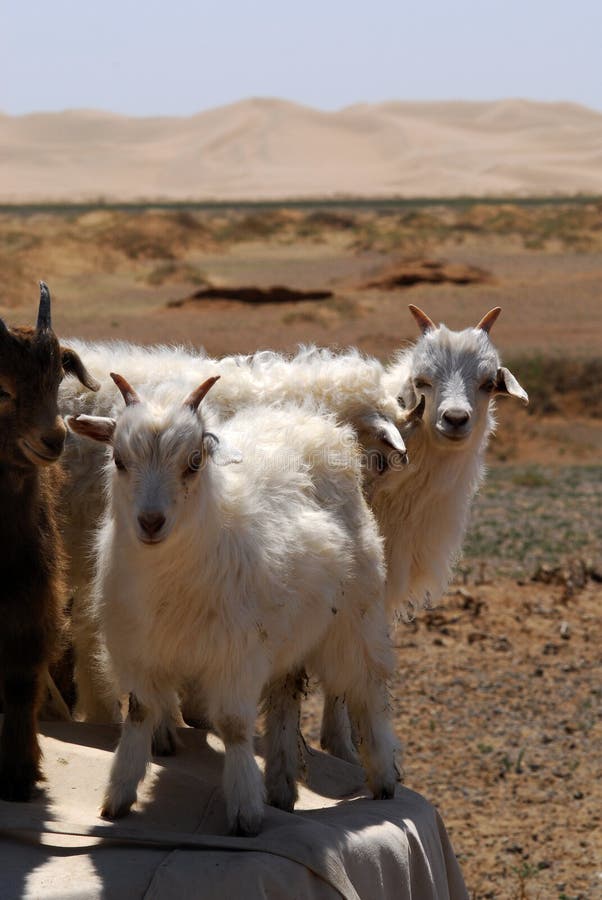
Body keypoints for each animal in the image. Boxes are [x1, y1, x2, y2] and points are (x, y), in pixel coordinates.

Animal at [67, 375, 397, 834]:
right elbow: (139, 714)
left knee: (369, 687)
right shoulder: (138, 651)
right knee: (285, 696)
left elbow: (234, 726)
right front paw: (118, 796)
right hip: (290, 629)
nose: (150, 522)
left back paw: (383, 777)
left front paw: (245, 809)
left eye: (194, 461)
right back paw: (281, 786)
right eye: (118, 459)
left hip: (355, 616)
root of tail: (316, 424)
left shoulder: (236, 655)